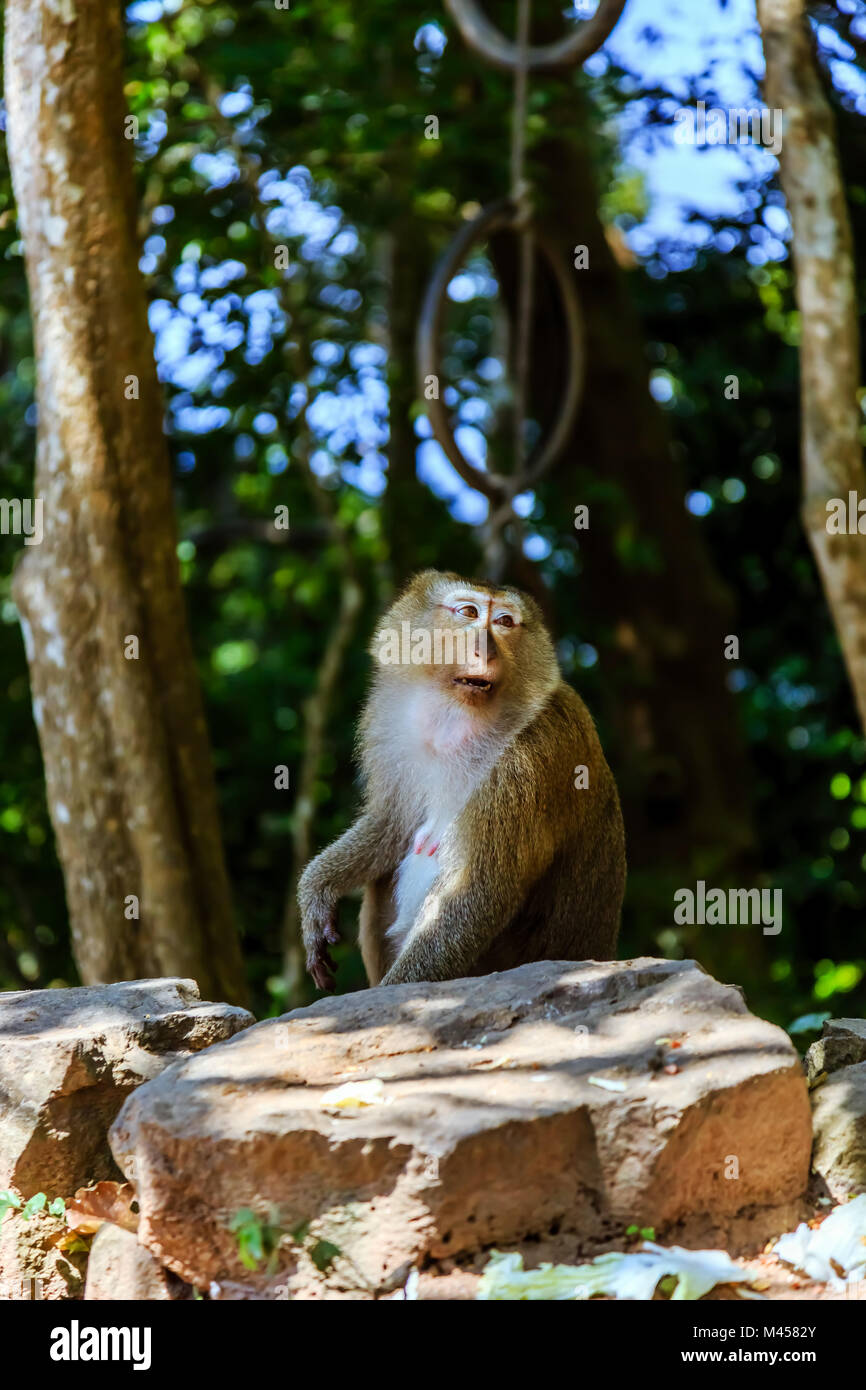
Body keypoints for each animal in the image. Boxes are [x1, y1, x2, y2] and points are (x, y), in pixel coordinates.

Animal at [298, 569, 626, 990]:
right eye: (468, 612)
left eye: (504, 622)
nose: (485, 650)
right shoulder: (390, 723)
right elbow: (392, 824)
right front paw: (318, 888)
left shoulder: (533, 754)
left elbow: (476, 891)